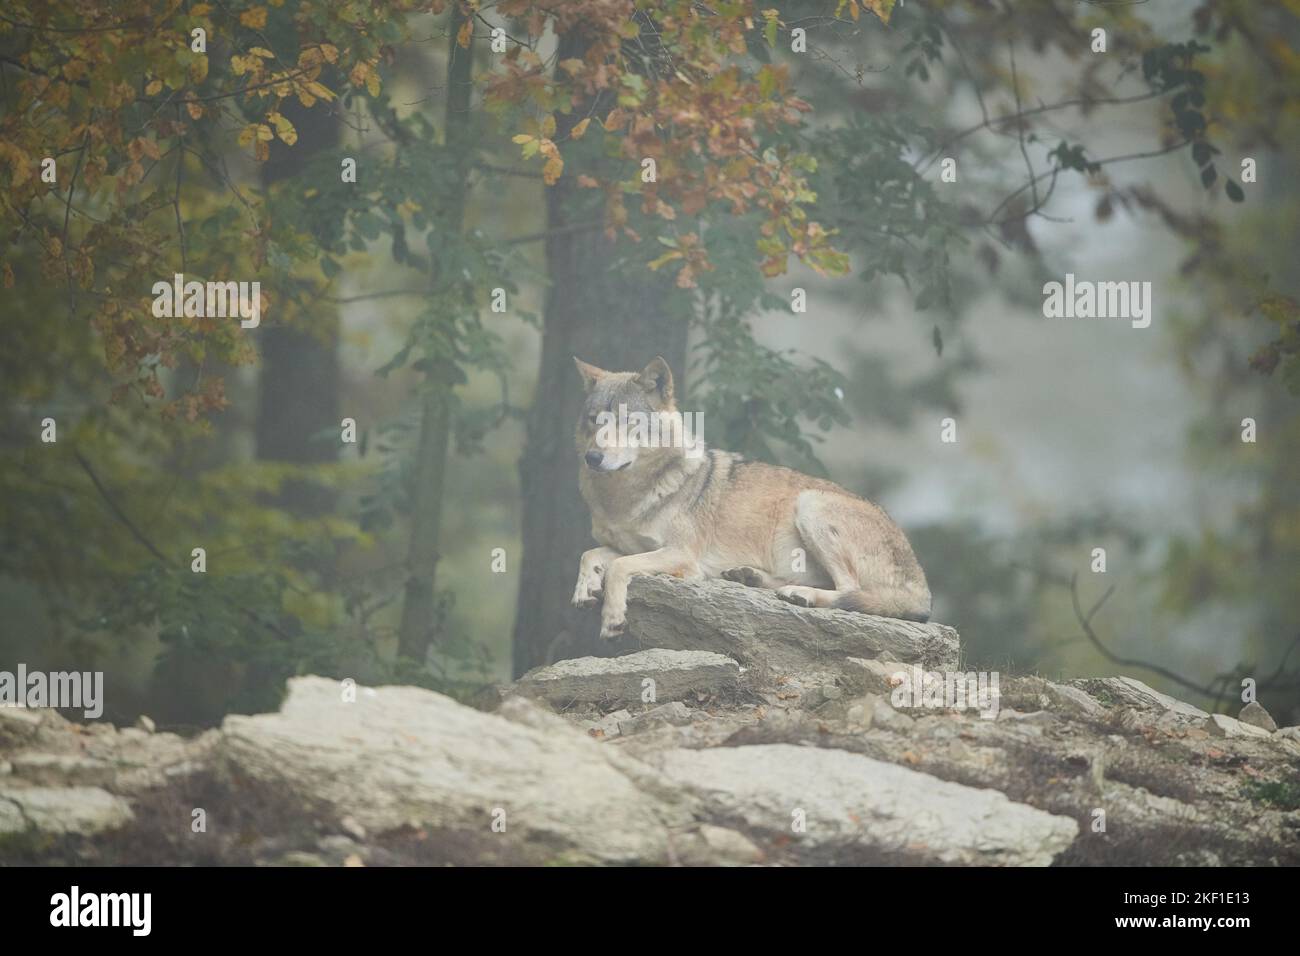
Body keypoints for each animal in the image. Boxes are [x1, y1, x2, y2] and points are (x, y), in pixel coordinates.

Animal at [571, 356, 932, 640]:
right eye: (594, 420)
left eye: (627, 422)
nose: (592, 458)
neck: (622, 498)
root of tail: (923, 587)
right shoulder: (625, 544)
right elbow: (590, 554)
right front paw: (584, 589)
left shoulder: (682, 556)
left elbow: (619, 566)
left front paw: (612, 618)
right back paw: (750, 577)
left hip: (809, 504)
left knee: (849, 590)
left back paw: (800, 594)